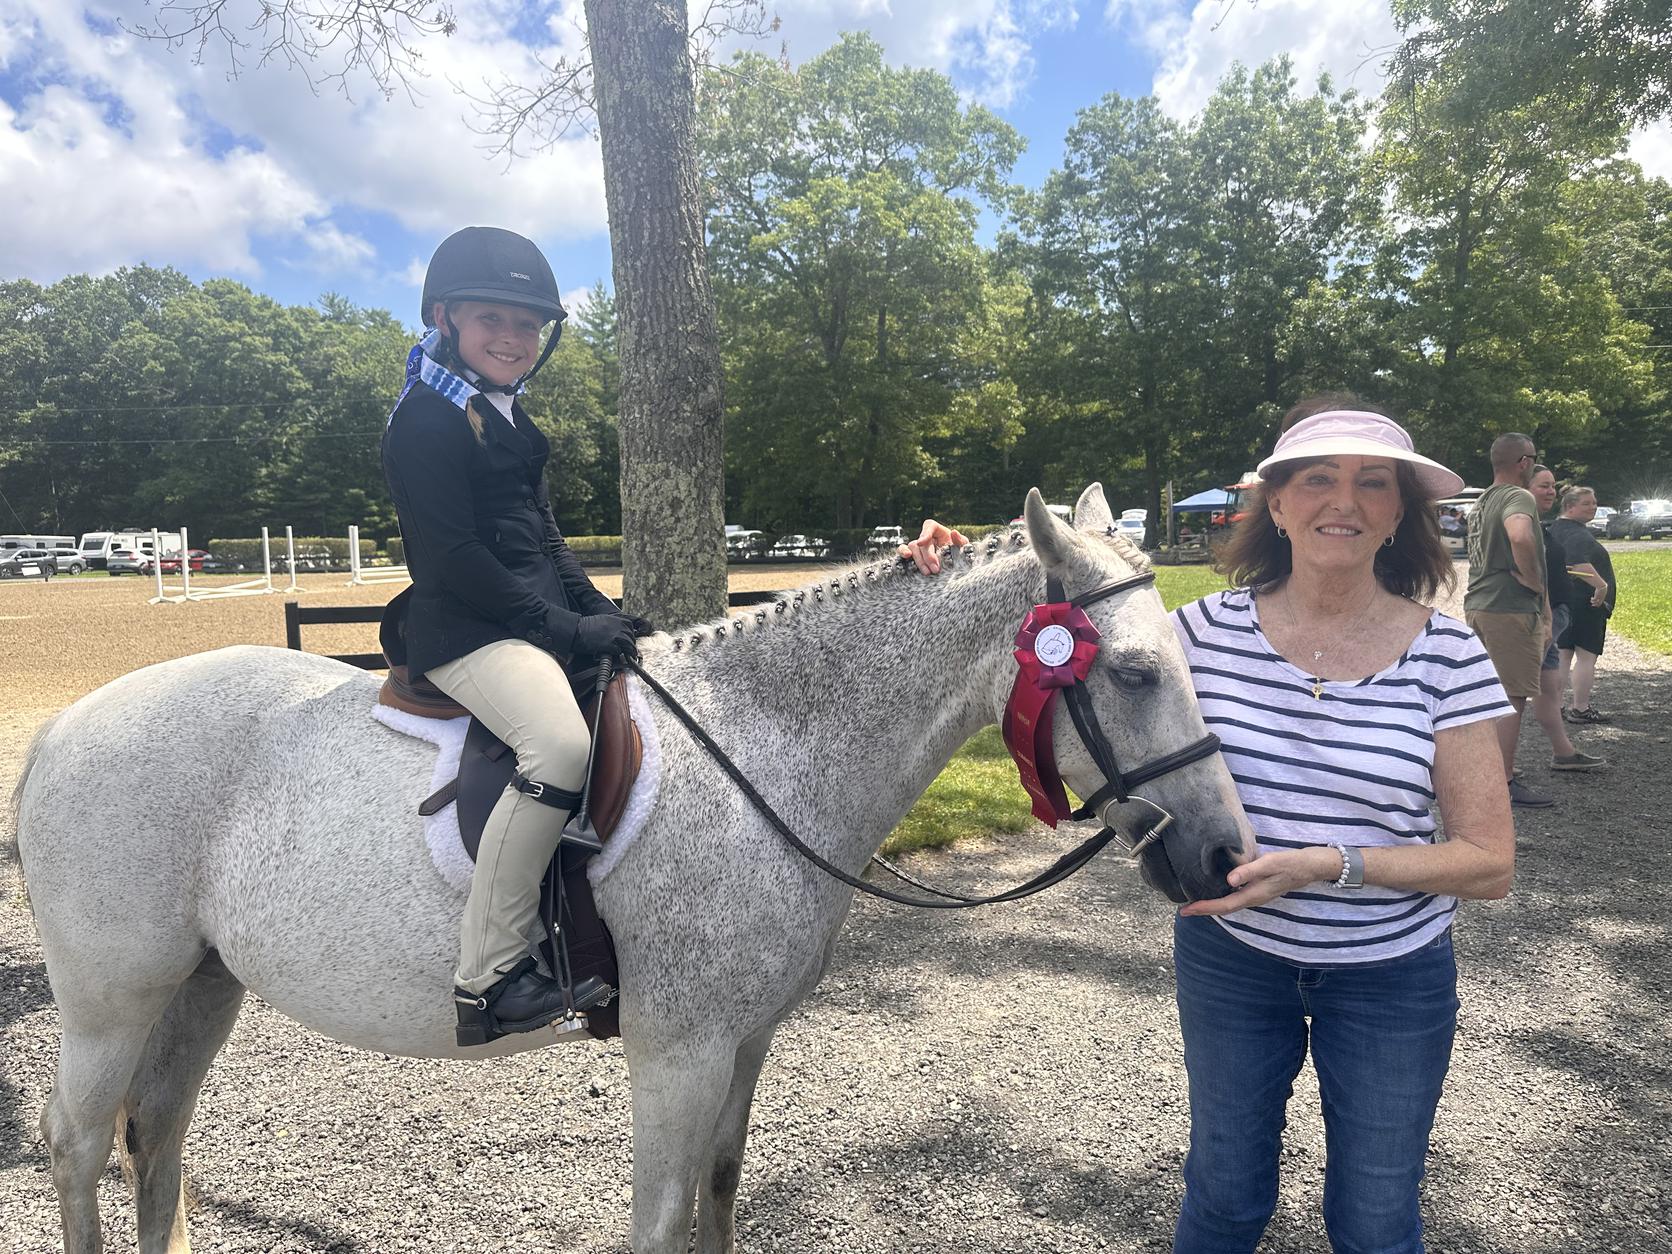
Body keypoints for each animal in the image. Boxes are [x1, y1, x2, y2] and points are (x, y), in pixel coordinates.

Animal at [12, 485, 1254, 1254]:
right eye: (1133, 672)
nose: (1222, 854)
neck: (763, 743)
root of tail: (67, 726)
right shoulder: (680, 1052)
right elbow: (658, 1222)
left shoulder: (742, 1045)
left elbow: (718, 1195)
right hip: (112, 1000)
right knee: (77, 1143)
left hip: (201, 985)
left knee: (155, 1135)